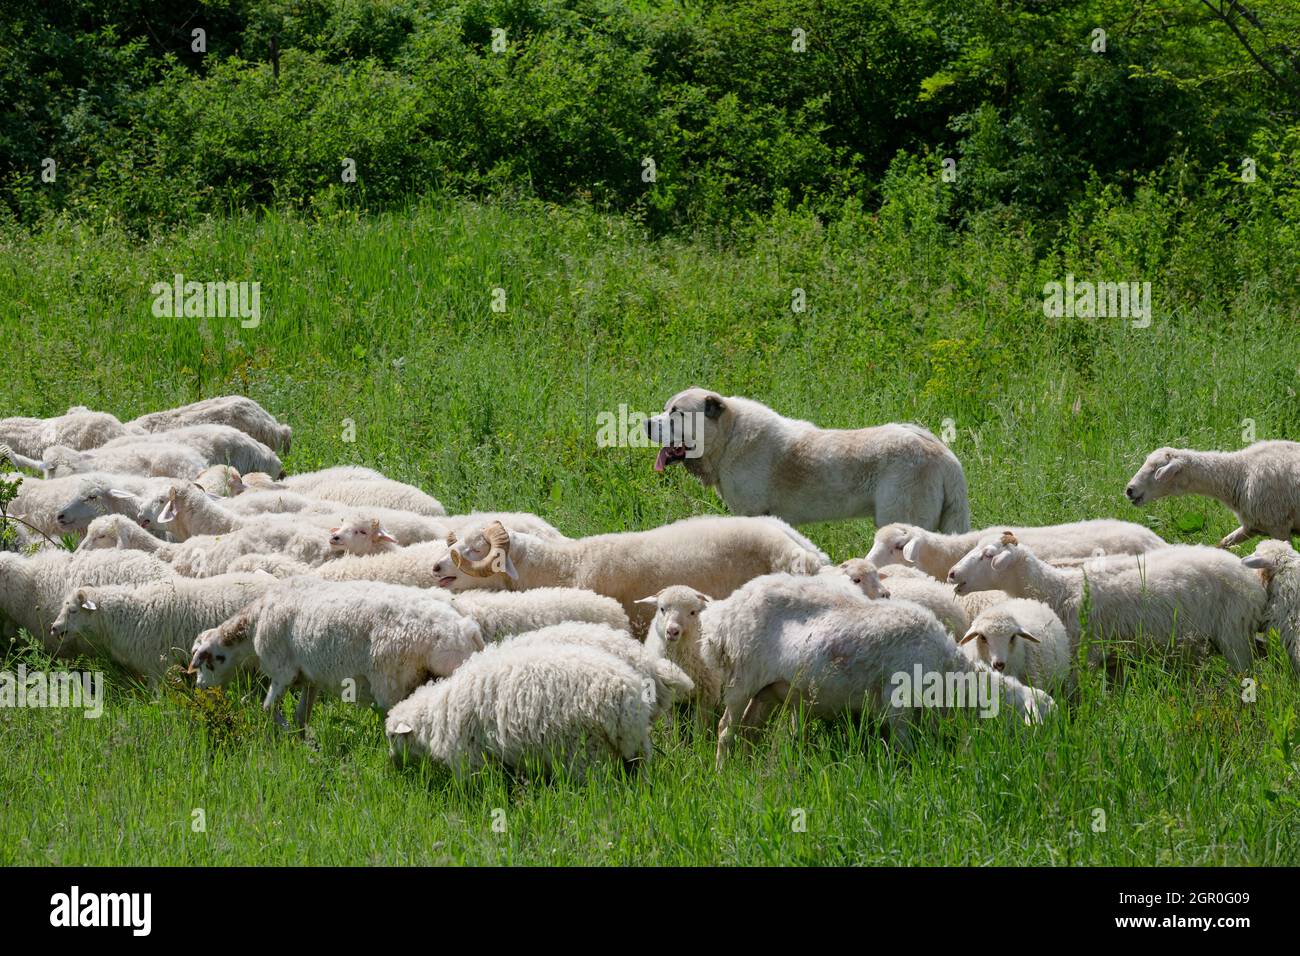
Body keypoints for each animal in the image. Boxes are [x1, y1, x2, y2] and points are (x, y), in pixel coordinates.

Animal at [187, 577, 484, 729]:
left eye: (207, 663)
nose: (200, 687)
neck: (254, 624)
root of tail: (464, 630)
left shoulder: (282, 670)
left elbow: (268, 707)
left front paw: (281, 732)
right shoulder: (310, 677)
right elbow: (302, 714)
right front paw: (301, 740)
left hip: (392, 680)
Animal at [385, 636, 692, 779]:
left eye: (391, 736)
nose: (391, 763)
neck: (438, 710)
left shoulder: (469, 756)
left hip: (588, 750)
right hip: (636, 748)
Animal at [700, 573, 1054, 763]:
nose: (1047, 755)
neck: (947, 670)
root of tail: (725, 612)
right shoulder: (899, 705)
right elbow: (903, 749)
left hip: (769, 691)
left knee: (748, 732)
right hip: (741, 679)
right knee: (726, 730)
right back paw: (723, 773)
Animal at [947, 532, 1264, 673]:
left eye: (988, 555)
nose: (951, 574)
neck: (1059, 590)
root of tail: (1247, 575)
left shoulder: (1085, 653)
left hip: (1233, 633)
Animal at [1125, 441, 1300, 549]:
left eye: (1155, 468)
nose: (1129, 490)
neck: (1238, 473)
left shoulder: (1278, 526)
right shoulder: (1252, 526)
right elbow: (1222, 544)